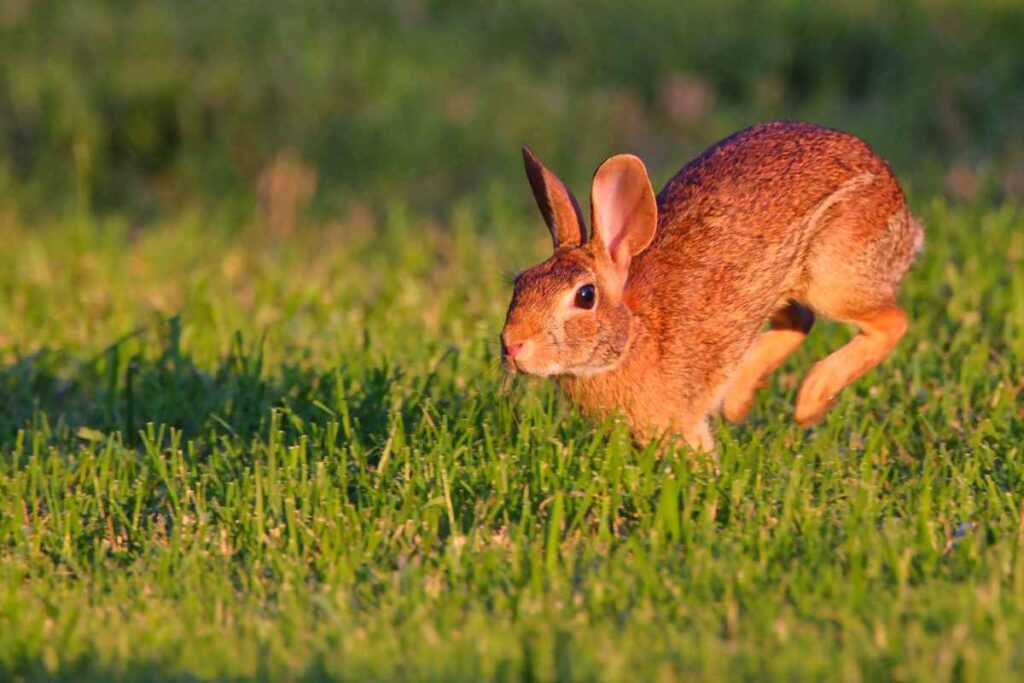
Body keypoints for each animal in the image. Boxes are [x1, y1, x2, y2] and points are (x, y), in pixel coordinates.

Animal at [500, 121, 923, 452]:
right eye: (522, 282)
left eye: (585, 296)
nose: (512, 344)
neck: (635, 333)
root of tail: (900, 206)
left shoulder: (681, 422)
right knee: (800, 320)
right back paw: (739, 401)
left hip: (832, 275)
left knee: (892, 322)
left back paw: (809, 399)